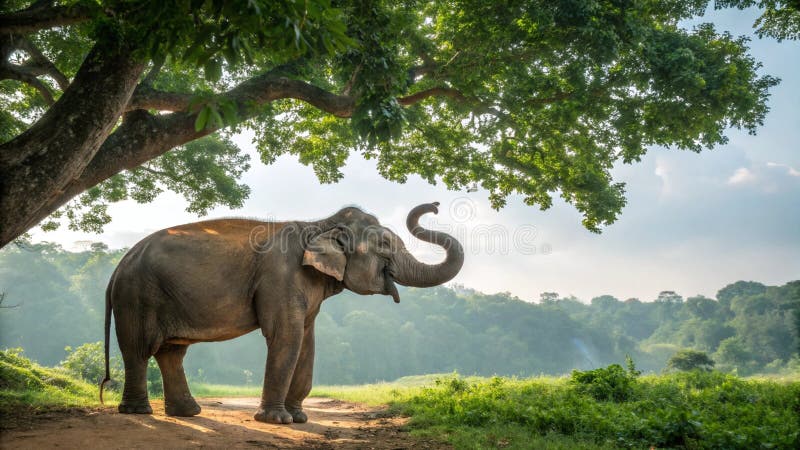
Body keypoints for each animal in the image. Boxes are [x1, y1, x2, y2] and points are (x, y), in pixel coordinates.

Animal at [99, 202, 463, 424]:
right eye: (385, 245)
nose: (434, 205)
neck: (320, 224)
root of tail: (117, 268)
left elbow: (307, 340)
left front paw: (298, 419)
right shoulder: (281, 277)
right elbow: (285, 335)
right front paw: (277, 420)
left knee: (171, 352)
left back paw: (187, 412)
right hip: (137, 295)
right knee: (139, 349)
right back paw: (138, 413)